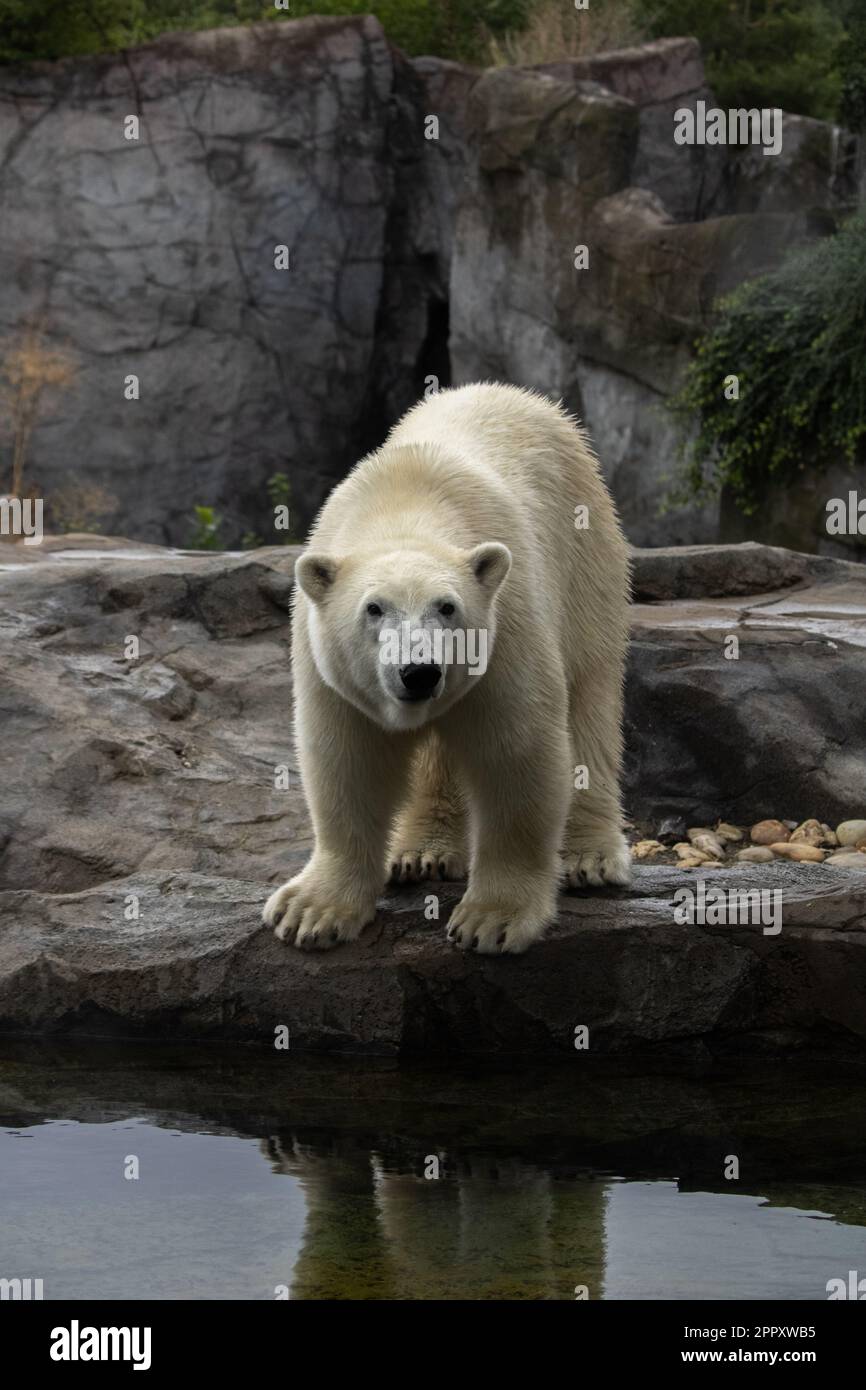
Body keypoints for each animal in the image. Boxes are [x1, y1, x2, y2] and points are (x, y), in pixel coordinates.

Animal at [263, 382, 631, 955]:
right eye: (373, 608)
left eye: (447, 607)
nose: (420, 672)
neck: (405, 506)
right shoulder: (326, 664)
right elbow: (347, 762)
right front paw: (308, 912)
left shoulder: (507, 624)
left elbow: (517, 755)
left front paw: (491, 921)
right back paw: (422, 853)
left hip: (586, 551)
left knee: (591, 692)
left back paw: (589, 857)